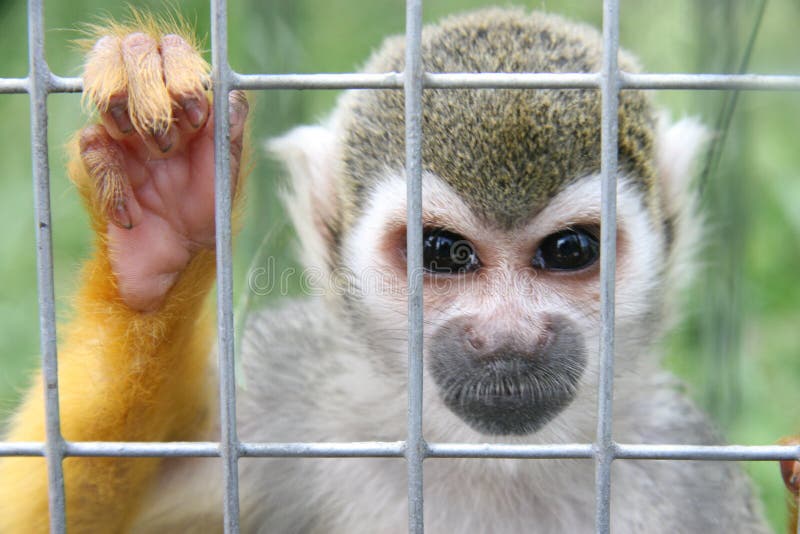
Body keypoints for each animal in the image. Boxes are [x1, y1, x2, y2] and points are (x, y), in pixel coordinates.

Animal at [0, 7, 772, 533]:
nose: (509, 338)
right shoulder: (291, 402)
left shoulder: (688, 473)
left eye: (569, 252)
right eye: (444, 253)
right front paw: (163, 220)